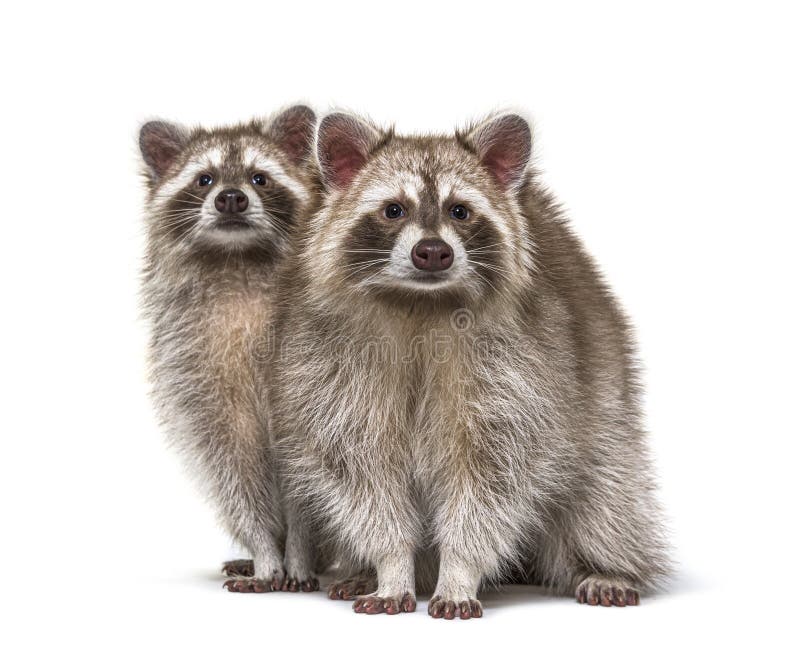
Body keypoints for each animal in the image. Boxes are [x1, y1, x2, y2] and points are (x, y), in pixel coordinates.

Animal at [139, 105, 320, 593]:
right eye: (204, 179)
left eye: (260, 177)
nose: (231, 198)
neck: (238, 260)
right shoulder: (192, 366)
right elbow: (233, 471)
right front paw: (265, 552)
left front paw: (298, 552)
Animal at [270, 111, 670, 618]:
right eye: (393, 210)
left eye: (460, 211)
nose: (432, 251)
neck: (423, 302)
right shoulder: (331, 363)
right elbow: (364, 474)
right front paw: (391, 567)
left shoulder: (523, 364)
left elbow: (492, 478)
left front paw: (458, 572)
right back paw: (366, 571)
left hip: (607, 408)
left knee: (607, 496)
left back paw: (606, 566)